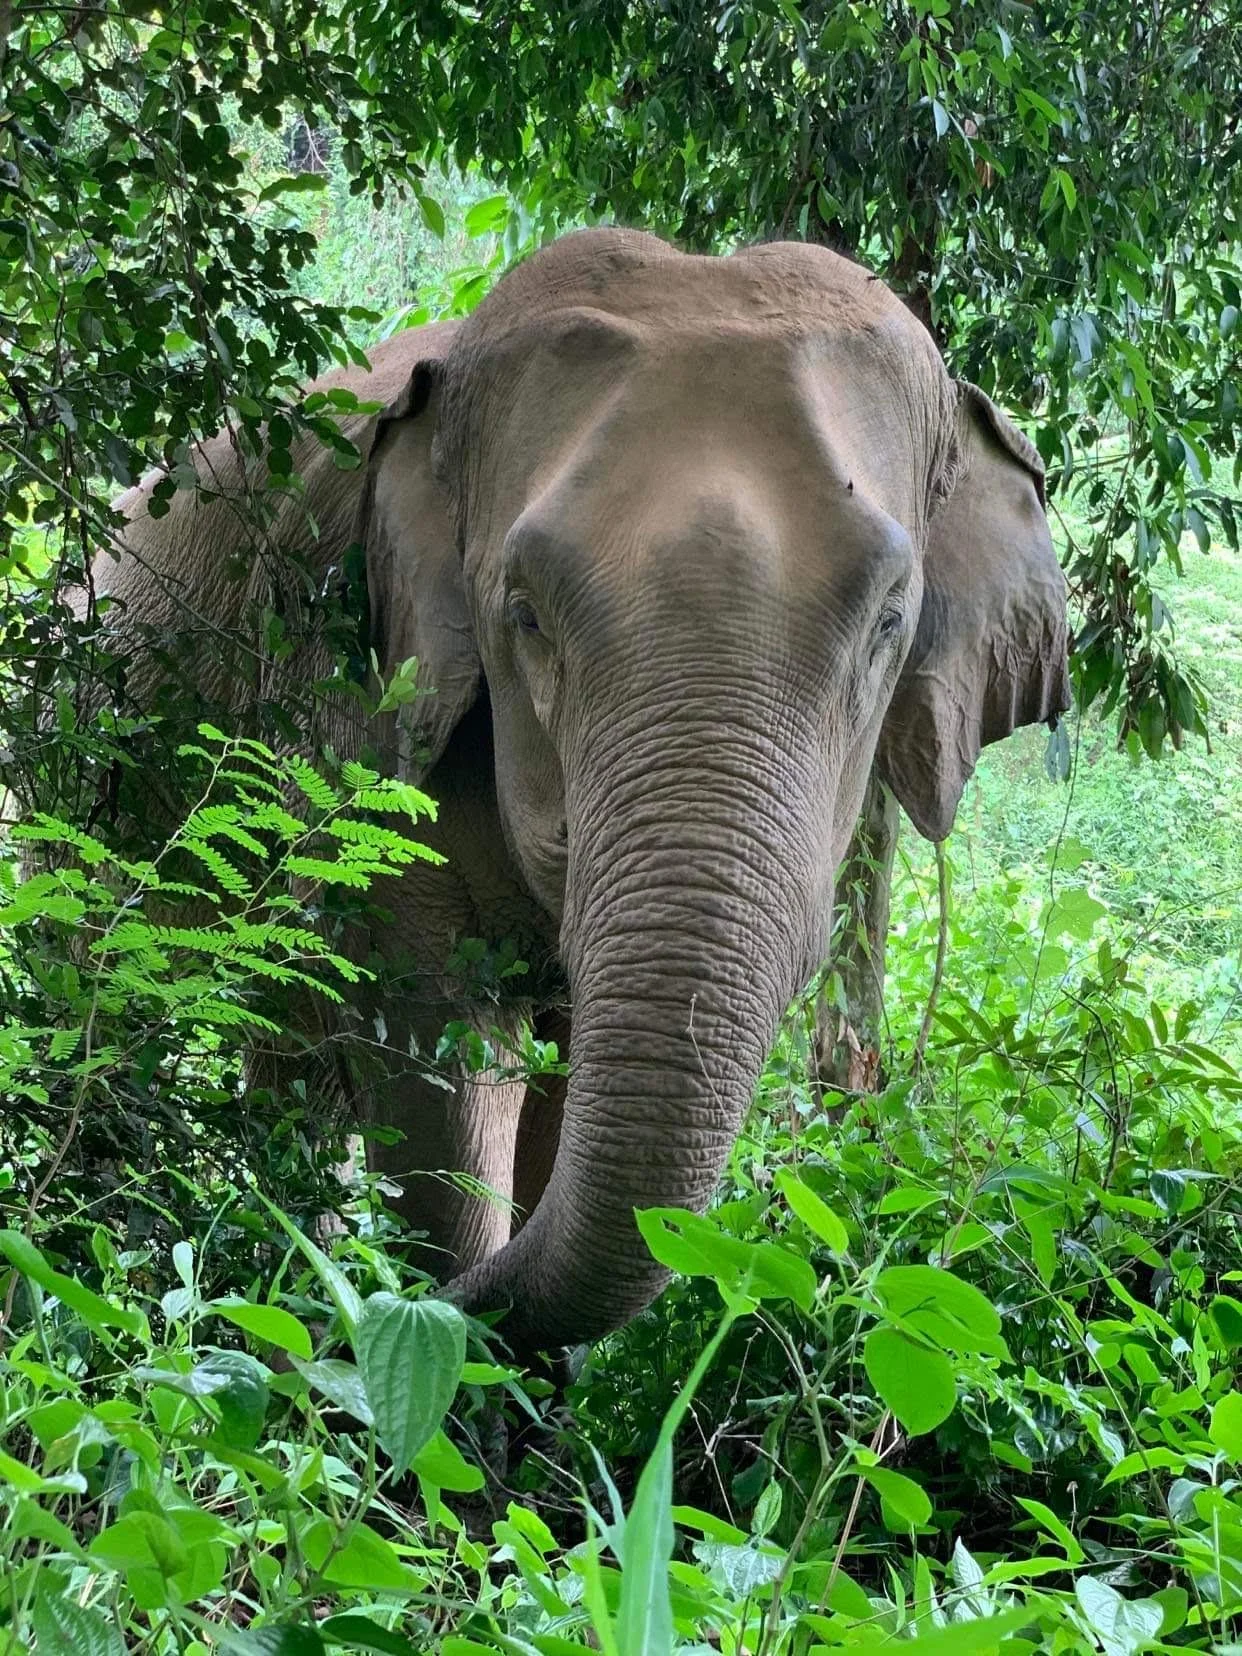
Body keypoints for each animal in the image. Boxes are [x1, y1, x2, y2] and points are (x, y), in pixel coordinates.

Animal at [98, 228, 1070, 1352]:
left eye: (888, 623)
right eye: (524, 615)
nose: (362, 1321)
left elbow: (566, 1085)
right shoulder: (364, 711)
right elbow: (429, 1059)